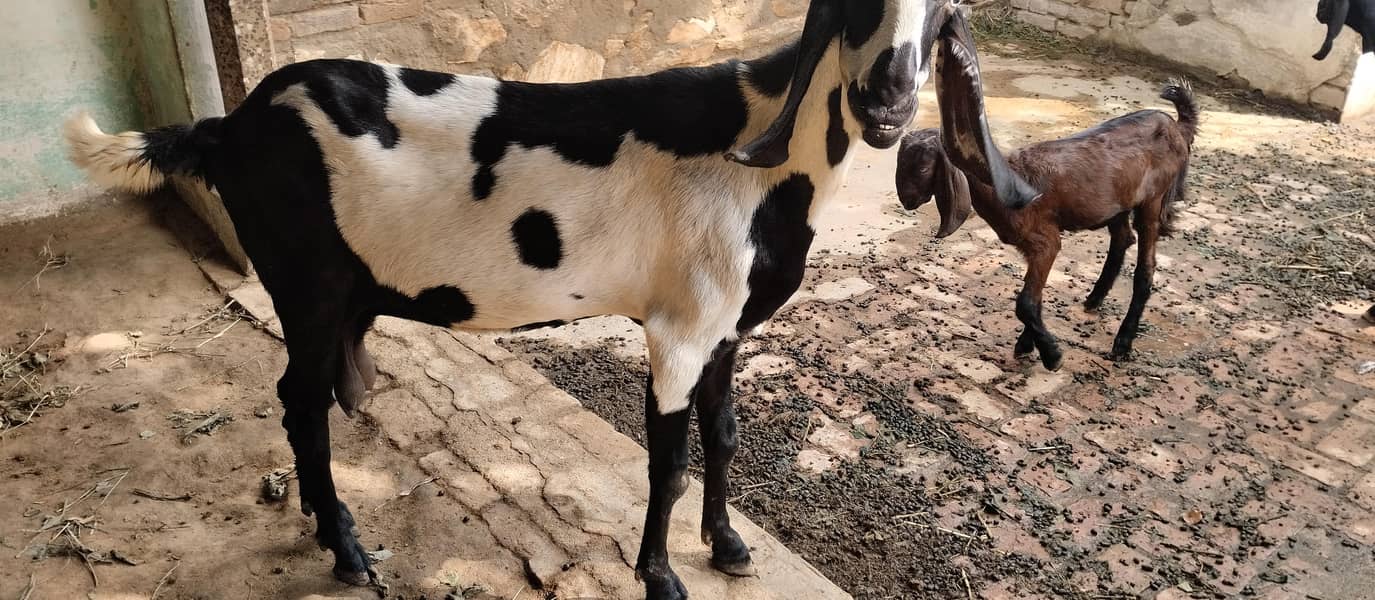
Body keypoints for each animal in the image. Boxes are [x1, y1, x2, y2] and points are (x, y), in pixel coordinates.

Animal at [63, 2, 1034, 597]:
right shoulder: (679, 330)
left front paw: (727, 547)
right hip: (307, 286)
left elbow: (723, 438)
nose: (886, 97)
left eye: (943, 13)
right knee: (299, 404)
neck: (764, 155)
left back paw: (318, 521)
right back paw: (344, 549)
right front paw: (661, 576)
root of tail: (228, 125)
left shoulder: (725, 327)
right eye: (855, 5)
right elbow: (667, 463)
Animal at [896, 81, 1198, 370]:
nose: (907, 200)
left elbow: (1026, 303)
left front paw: (1051, 355)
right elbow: (1036, 299)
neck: (1005, 185)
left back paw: (1123, 342)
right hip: (1117, 201)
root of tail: (1175, 125)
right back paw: (1094, 298)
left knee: (1145, 270)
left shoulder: (1044, 241)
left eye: (923, 168)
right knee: (1123, 238)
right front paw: (1029, 344)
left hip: (1154, 199)